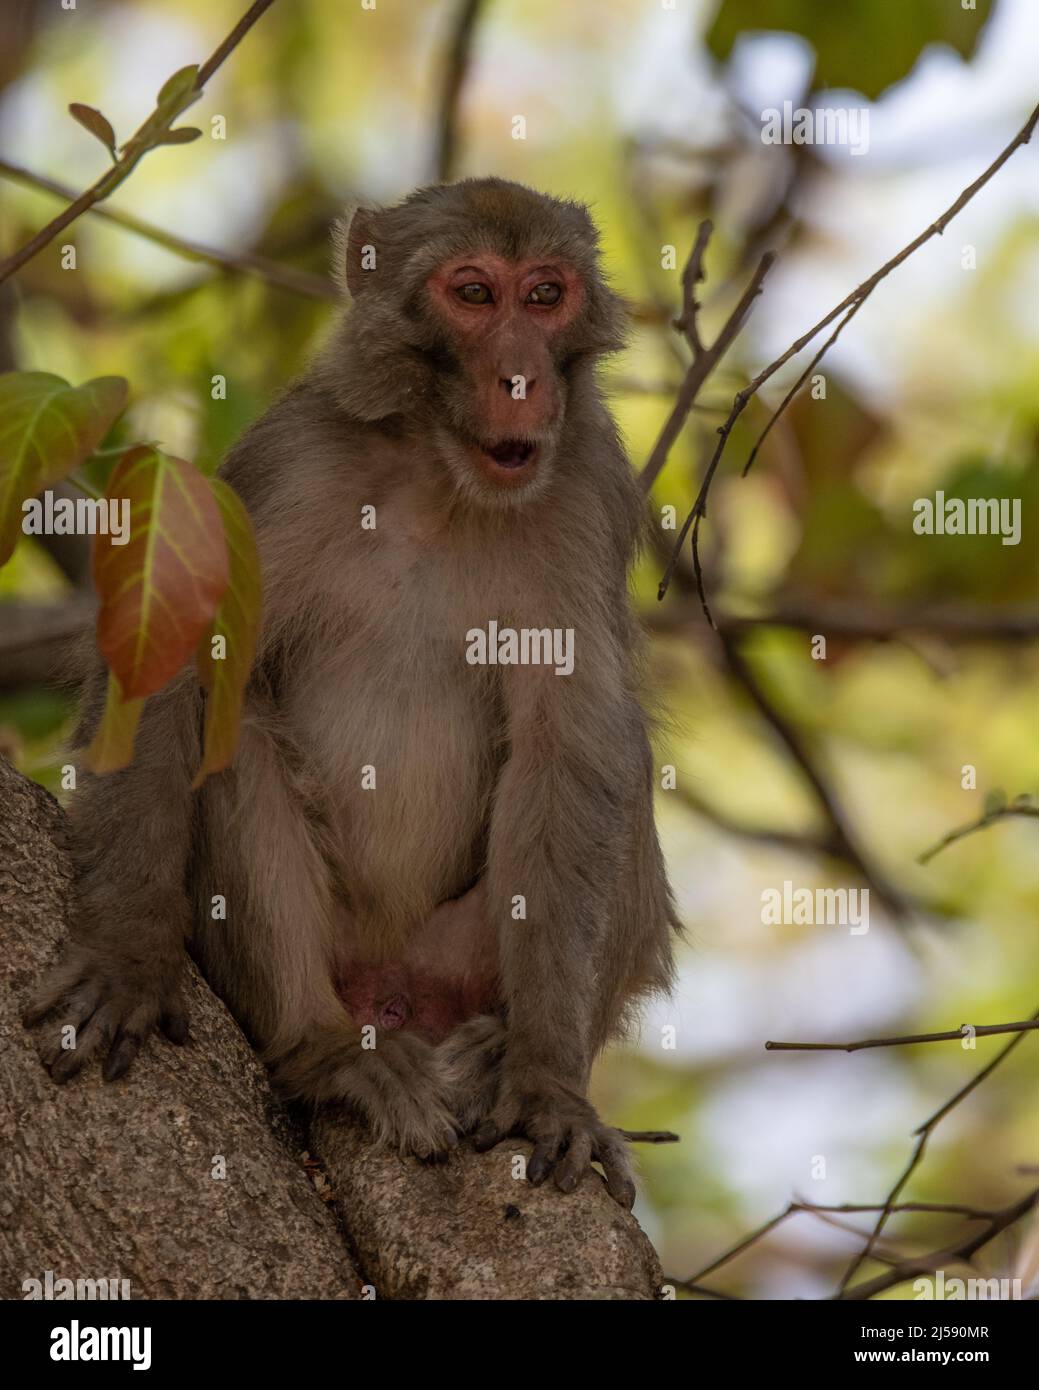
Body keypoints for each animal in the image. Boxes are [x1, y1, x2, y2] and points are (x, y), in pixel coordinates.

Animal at [26, 178, 679, 1207]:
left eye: (545, 295)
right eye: (472, 293)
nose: (523, 379)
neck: (438, 476)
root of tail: (392, 987)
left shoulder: (586, 487)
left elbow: (569, 750)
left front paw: (546, 1081)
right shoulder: (291, 464)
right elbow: (183, 664)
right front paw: (127, 952)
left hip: (458, 952)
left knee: (616, 764)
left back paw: (495, 1047)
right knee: (234, 737)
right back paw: (328, 1050)